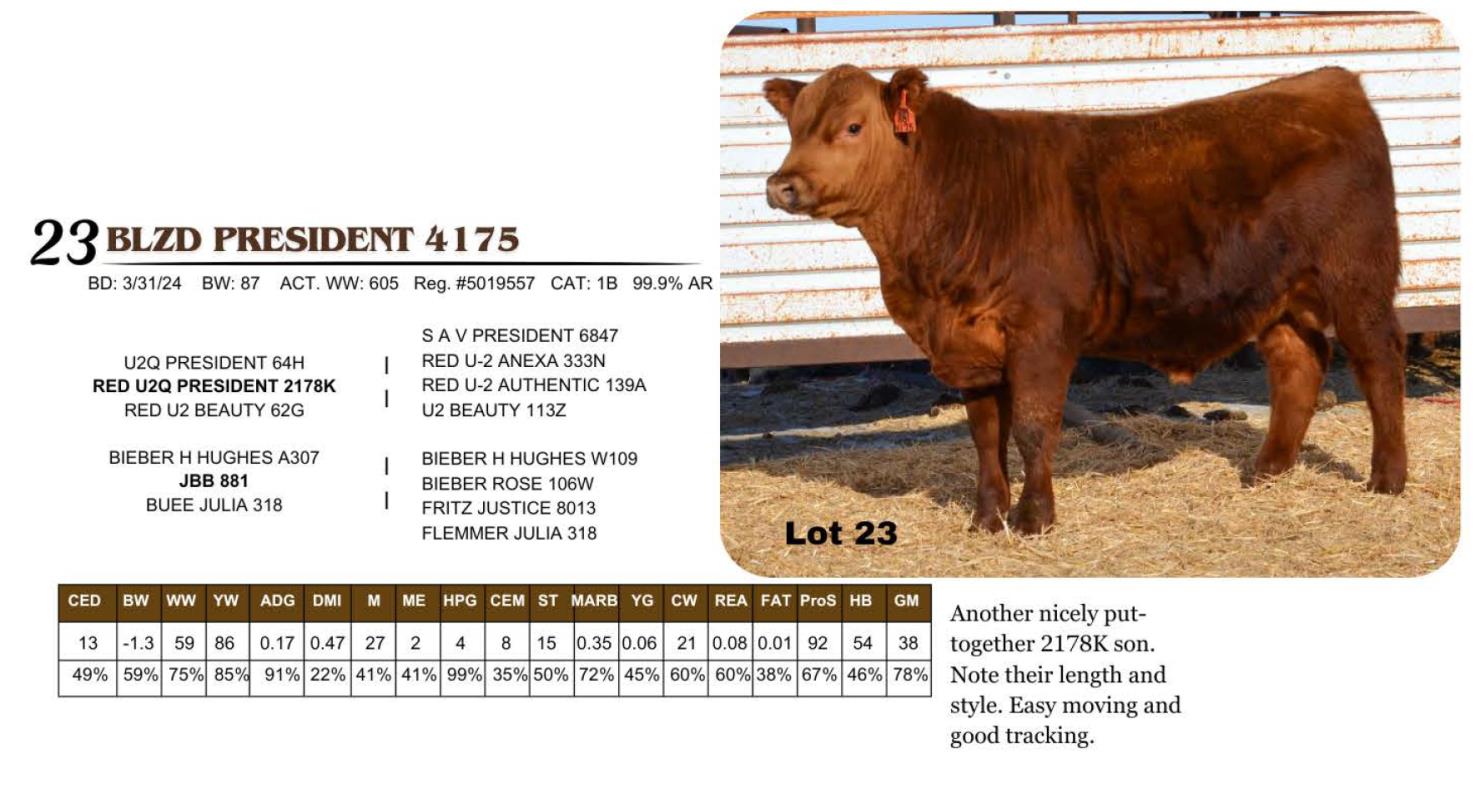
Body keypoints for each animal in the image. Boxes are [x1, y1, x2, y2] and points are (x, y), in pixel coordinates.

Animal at [762, 65, 1407, 535]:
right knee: (1299, 365)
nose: (781, 184)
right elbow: (985, 434)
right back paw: (1266, 473)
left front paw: (1033, 519)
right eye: (794, 126)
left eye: (852, 126)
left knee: (1379, 366)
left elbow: (1032, 427)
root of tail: (1330, 82)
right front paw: (986, 519)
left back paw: (1388, 479)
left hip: (1358, 280)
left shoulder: (1042, 334)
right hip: (1277, 297)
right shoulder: (971, 344)